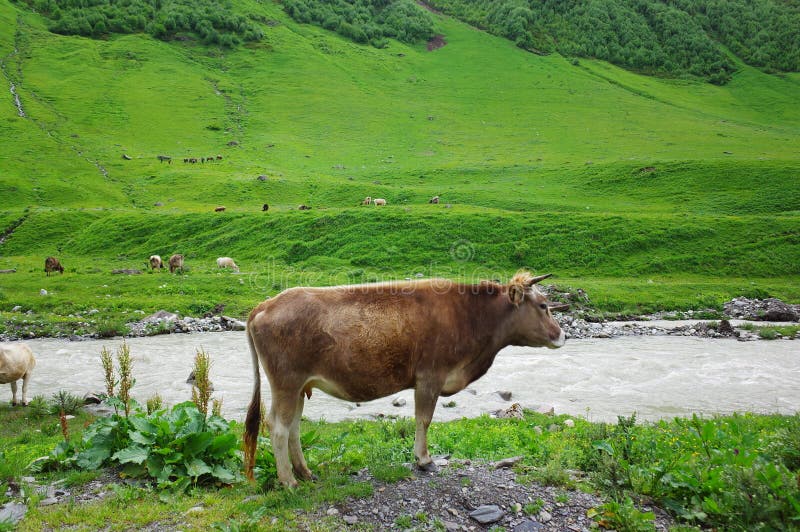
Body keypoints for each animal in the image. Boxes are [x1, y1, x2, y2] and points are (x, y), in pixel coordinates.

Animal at [243, 270, 567, 487]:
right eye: (543, 305)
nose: (562, 335)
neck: (471, 317)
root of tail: (266, 304)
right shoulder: (430, 377)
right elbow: (423, 419)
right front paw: (424, 460)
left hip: (299, 386)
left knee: (293, 427)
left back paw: (305, 472)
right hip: (286, 383)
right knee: (278, 427)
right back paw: (289, 482)